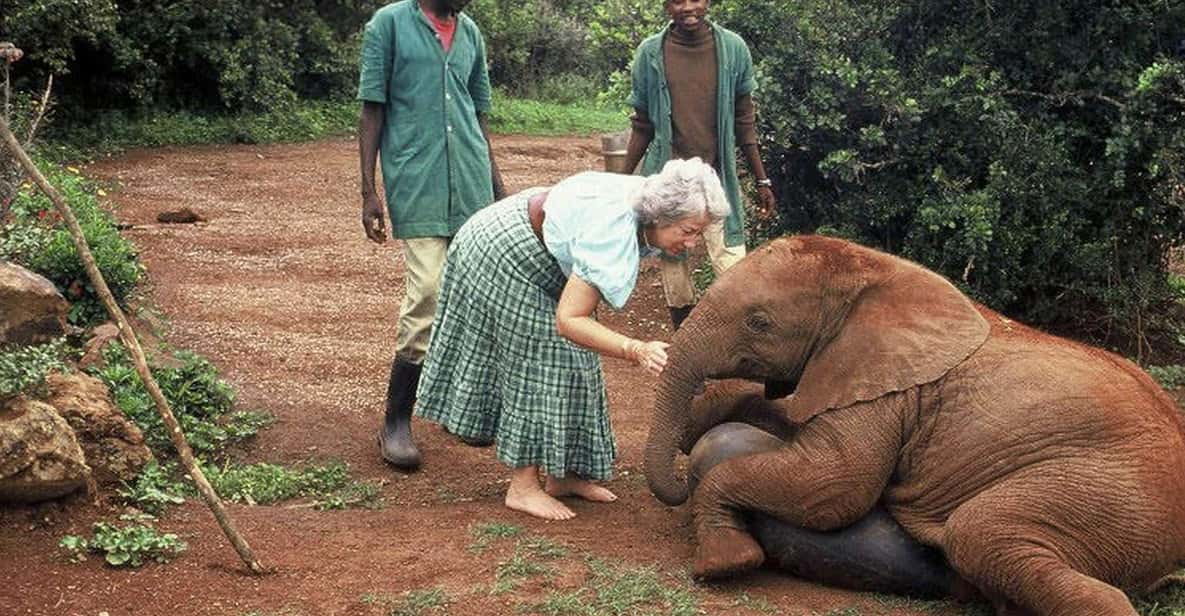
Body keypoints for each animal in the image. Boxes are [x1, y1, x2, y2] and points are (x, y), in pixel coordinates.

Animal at [645, 235, 1185, 615]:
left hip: (1113, 494)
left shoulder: (888, 392)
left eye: (758, 323)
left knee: (978, 532)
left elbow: (834, 485)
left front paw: (724, 564)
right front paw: (699, 424)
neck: (872, 269)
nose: (674, 485)